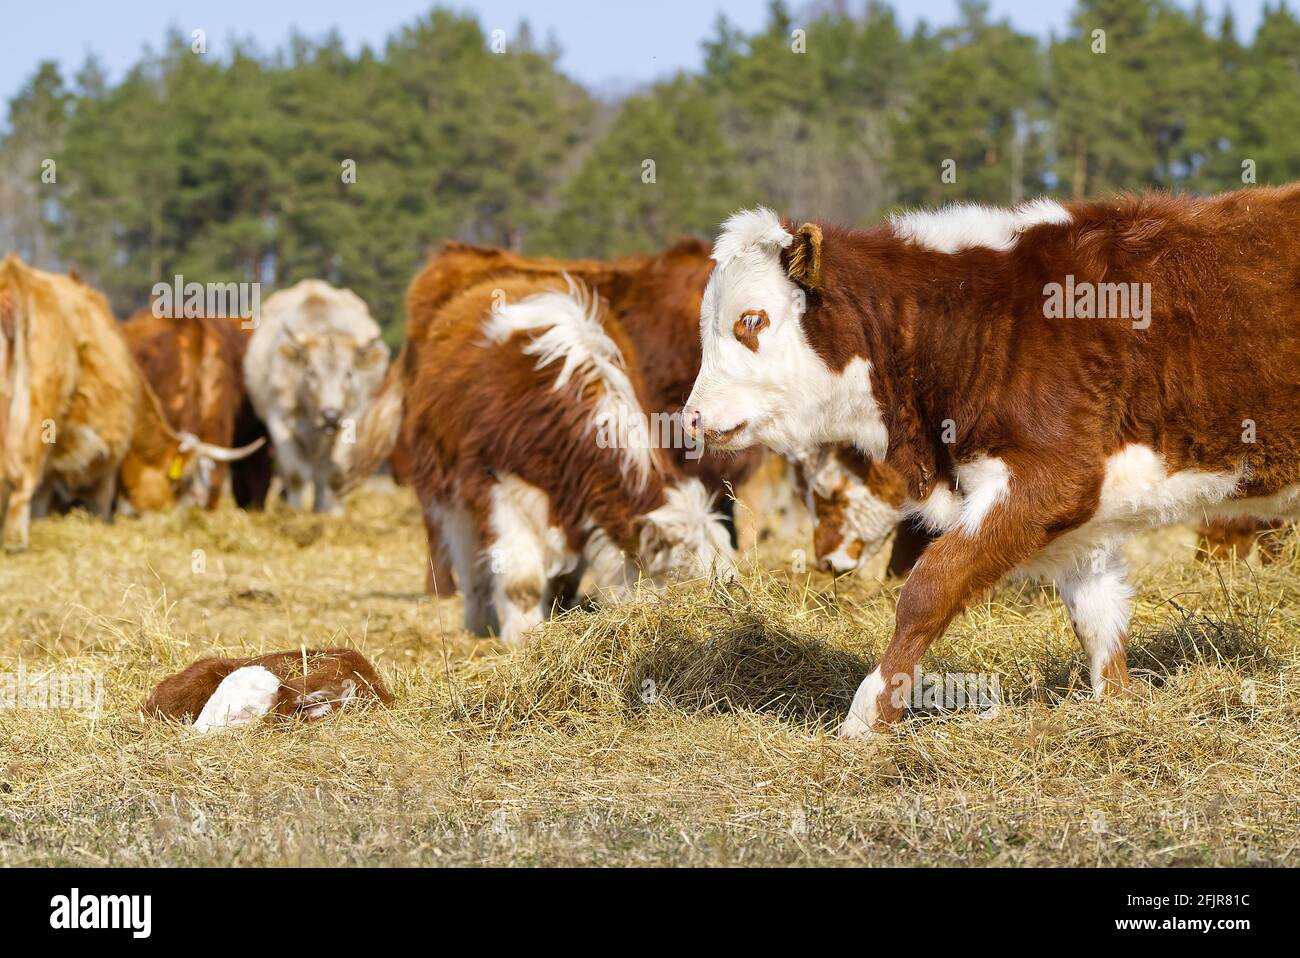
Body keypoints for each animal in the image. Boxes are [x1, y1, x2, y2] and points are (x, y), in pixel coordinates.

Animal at [243, 280, 389, 513]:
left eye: (349, 373)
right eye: (311, 372)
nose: (331, 415)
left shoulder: (351, 419)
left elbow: (334, 473)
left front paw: (333, 512)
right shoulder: (279, 420)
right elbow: (295, 474)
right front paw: (295, 511)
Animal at [684, 185, 1300, 737]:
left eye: (752, 320)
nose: (690, 417)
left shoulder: (1048, 480)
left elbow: (928, 587)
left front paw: (866, 720)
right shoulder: (1082, 516)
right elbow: (1098, 620)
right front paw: (1118, 713)